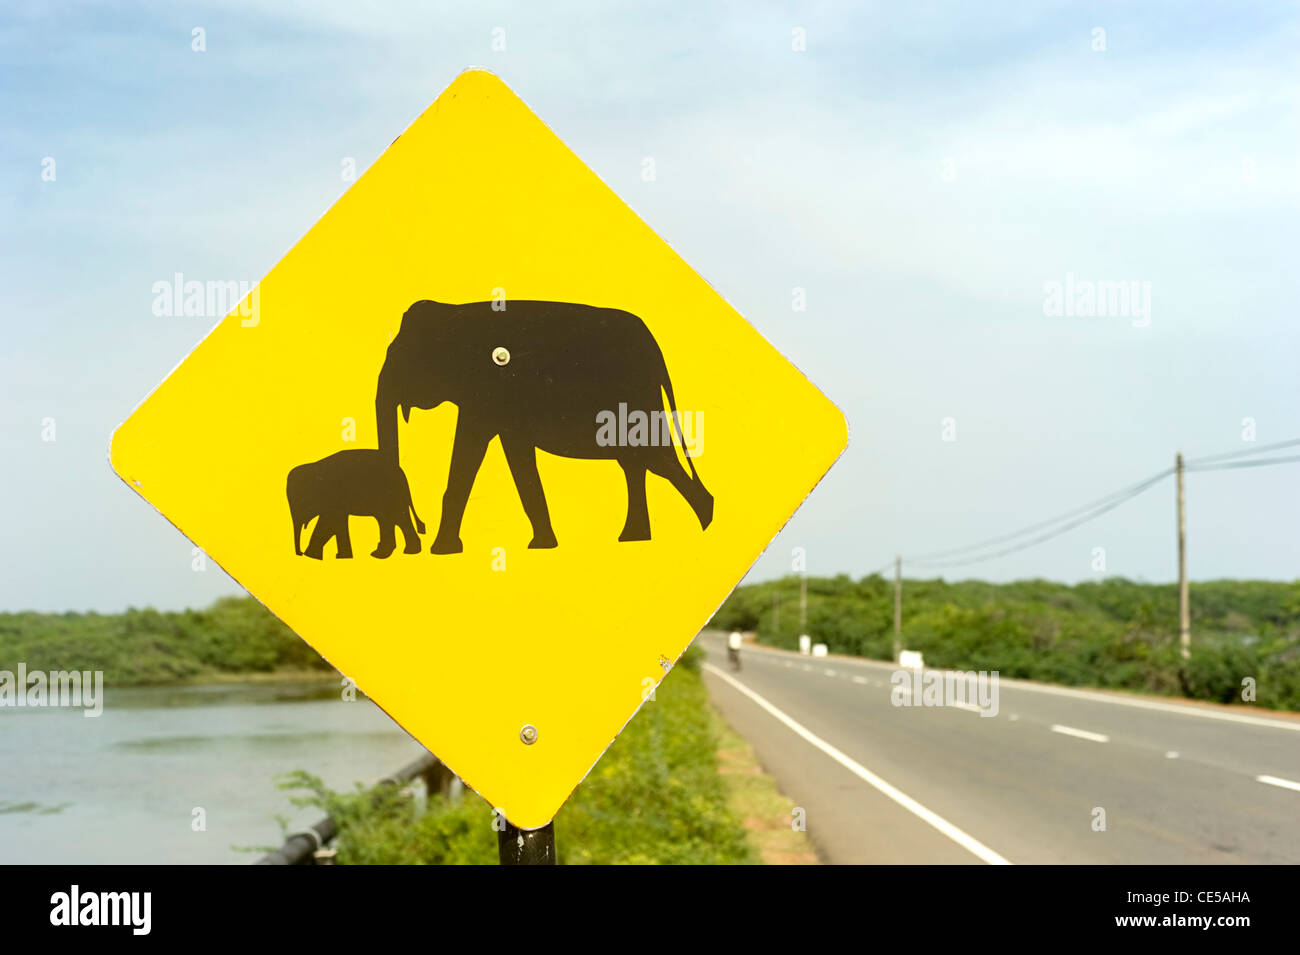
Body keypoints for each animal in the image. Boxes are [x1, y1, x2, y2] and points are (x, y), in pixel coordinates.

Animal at [286, 449, 425, 559]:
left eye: (303, 503)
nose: (300, 553)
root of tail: (402, 473)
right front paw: (341, 556)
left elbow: (329, 521)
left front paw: (314, 555)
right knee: (393, 519)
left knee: (396, 518)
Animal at [375, 299, 713, 554]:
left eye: (404, 358)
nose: (417, 539)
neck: (454, 312)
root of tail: (656, 349)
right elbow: (516, 456)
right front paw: (542, 545)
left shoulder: (486, 393)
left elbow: (471, 451)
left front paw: (443, 550)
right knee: (636, 463)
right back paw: (637, 536)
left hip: (636, 398)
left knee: (654, 457)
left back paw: (705, 520)